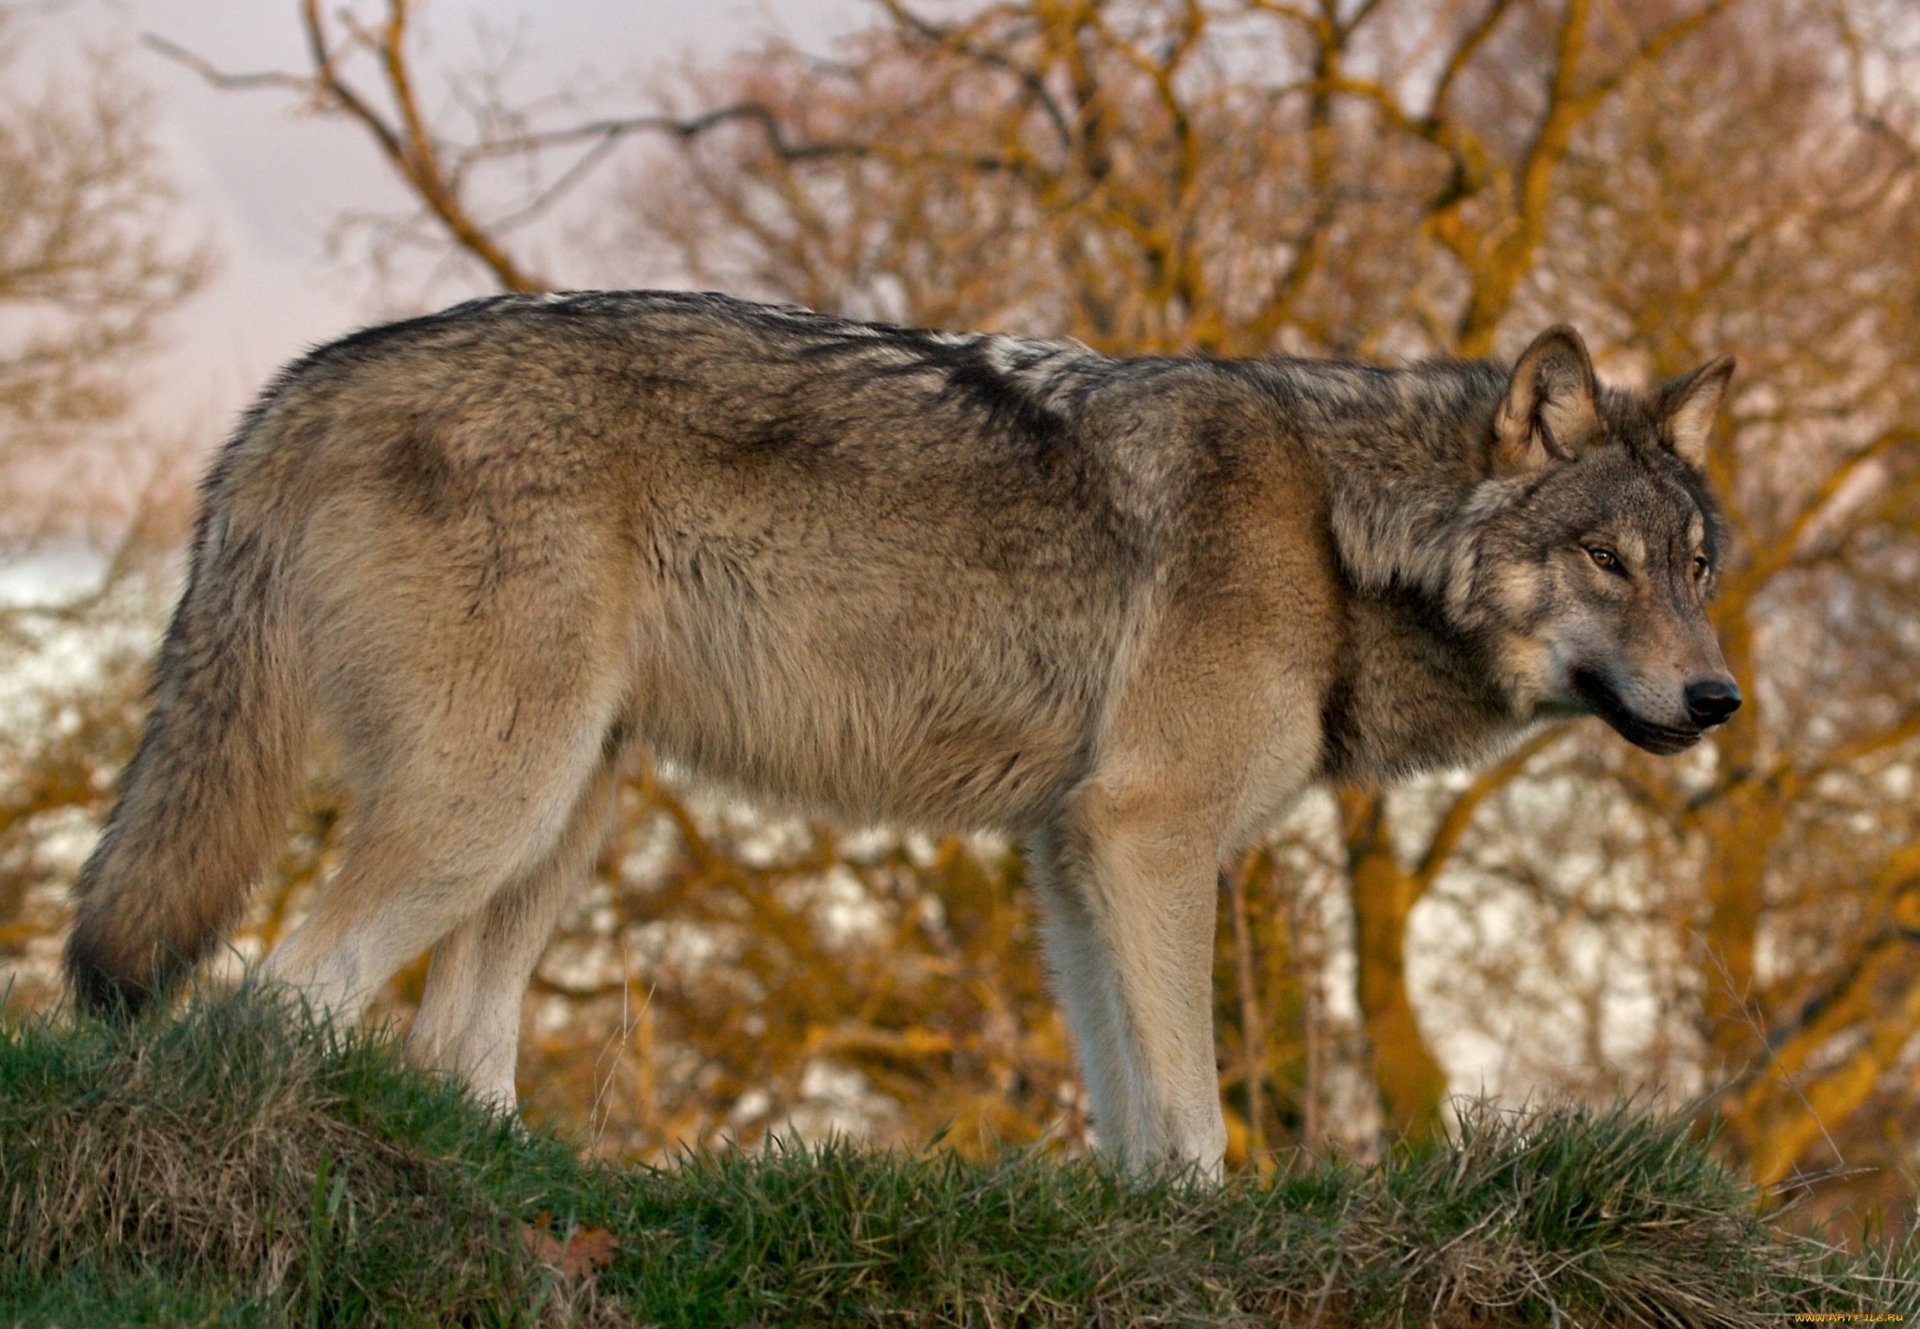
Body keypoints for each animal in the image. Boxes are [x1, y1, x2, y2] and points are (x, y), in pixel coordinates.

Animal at [65, 291, 1739, 1175]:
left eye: (1697, 568)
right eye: (1608, 562)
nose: (1721, 699)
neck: (1341, 533)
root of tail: (306, 377)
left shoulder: (1072, 853)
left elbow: (1130, 1111)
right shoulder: (1147, 835)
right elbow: (1195, 1116)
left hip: (564, 812)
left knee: (451, 1041)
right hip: (490, 805)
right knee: (273, 1001)